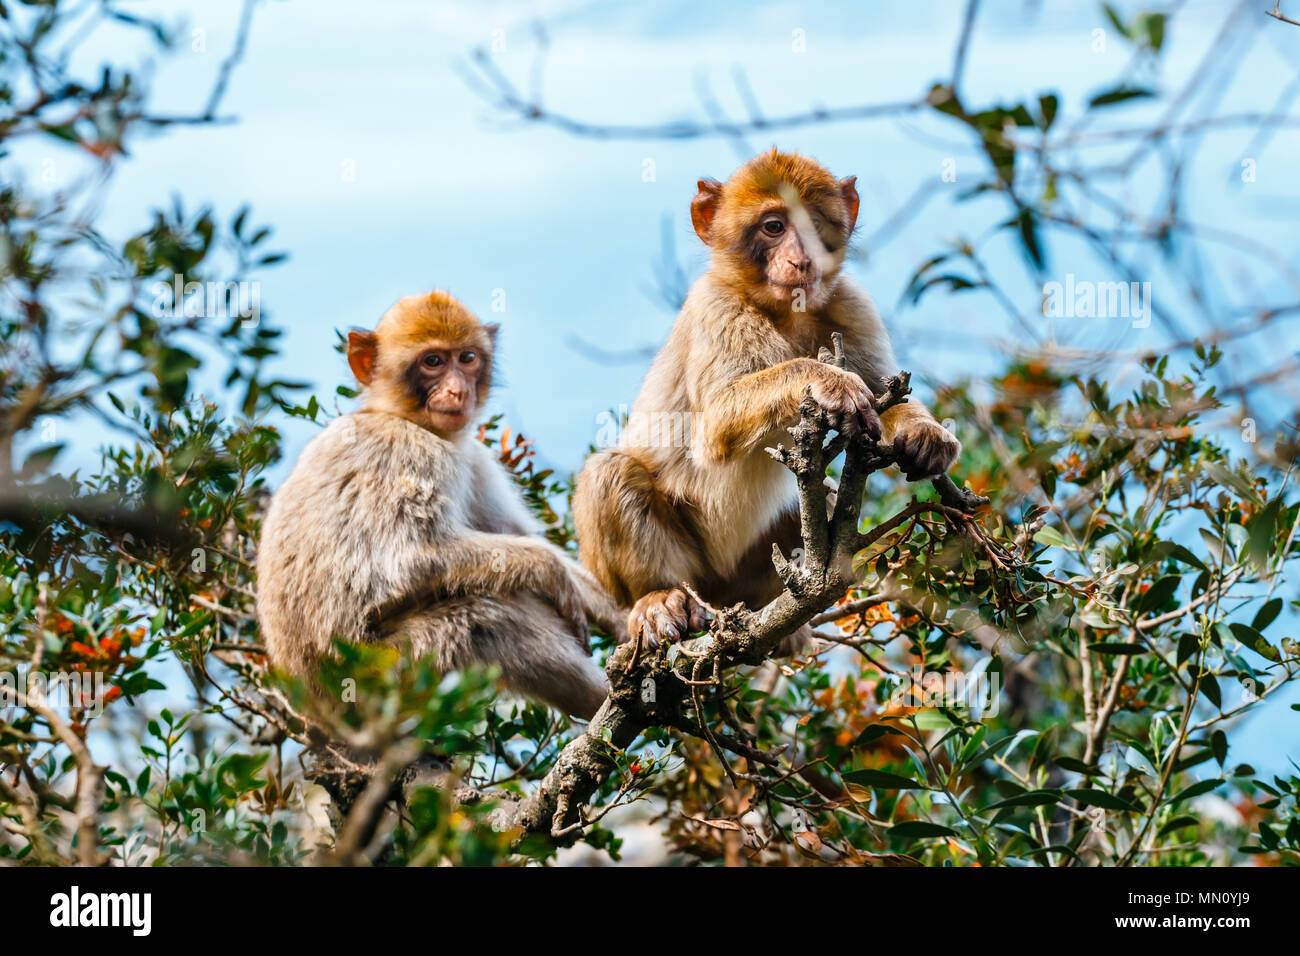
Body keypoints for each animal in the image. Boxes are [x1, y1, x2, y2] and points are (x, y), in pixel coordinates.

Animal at [256, 291, 621, 720]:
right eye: (432, 361)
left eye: (467, 358)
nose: (458, 390)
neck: (403, 418)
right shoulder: (408, 453)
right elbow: (411, 556)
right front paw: (554, 576)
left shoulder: (473, 457)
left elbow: (514, 534)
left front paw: (627, 614)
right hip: (389, 670)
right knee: (487, 616)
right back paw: (603, 697)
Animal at [573, 149, 961, 647]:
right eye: (773, 226)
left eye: (814, 224)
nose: (802, 260)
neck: (786, 312)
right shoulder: (717, 306)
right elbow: (714, 424)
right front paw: (828, 381)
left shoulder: (853, 305)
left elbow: (886, 393)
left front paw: (926, 434)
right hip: (677, 575)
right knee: (610, 472)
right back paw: (657, 600)